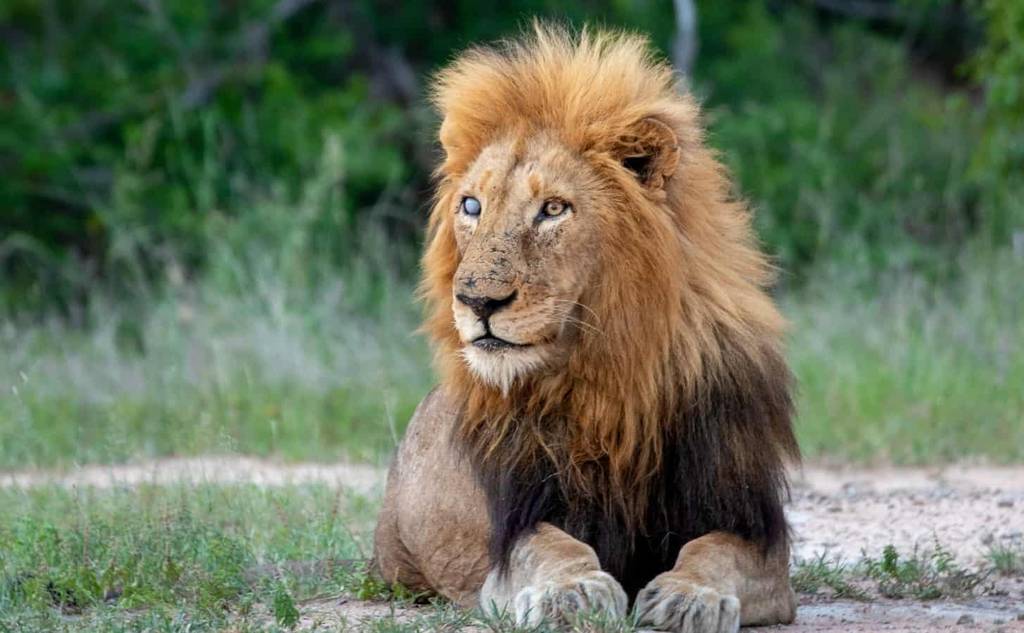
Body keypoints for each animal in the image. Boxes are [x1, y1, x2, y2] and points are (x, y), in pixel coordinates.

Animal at [372, 25, 800, 632]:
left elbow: (714, 551)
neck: (608, 376)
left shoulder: (753, 528)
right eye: (472, 206)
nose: (477, 300)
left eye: (553, 209)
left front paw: (689, 596)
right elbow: (553, 548)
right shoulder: (515, 528)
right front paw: (572, 592)